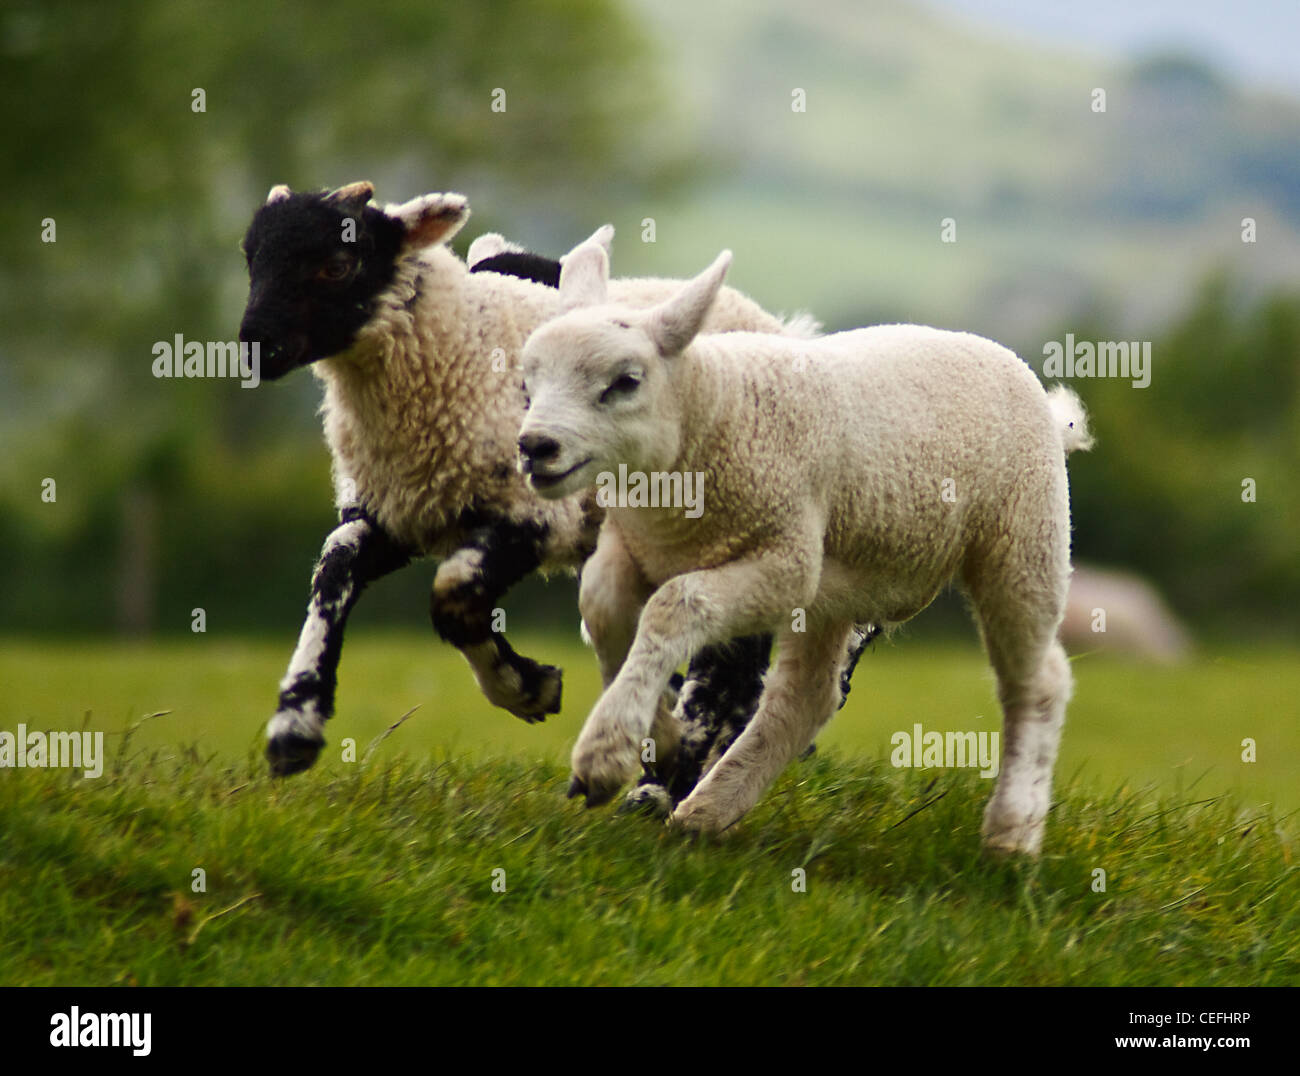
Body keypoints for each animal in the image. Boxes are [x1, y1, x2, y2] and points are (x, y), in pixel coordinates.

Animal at [236, 182, 875, 786]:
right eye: (251, 258)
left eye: (338, 264)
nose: (254, 349)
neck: (458, 346)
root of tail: (783, 328)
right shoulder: (394, 512)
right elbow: (337, 570)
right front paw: (295, 724)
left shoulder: (536, 513)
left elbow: (455, 593)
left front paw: (525, 687)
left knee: (730, 665)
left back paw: (670, 776)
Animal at [516, 239, 1094, 855]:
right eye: (528, 382)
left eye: (626, 381)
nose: (535, 447)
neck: (715, 411)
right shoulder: (632, 545)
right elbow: (603, 610)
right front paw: (661, 739)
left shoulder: (785, 562)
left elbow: (675, 607)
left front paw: (604, 754)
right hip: (841, 580)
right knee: (806, 696)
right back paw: (711, 810)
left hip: (1022, 539)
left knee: (1037, 682)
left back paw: (1012, 833)